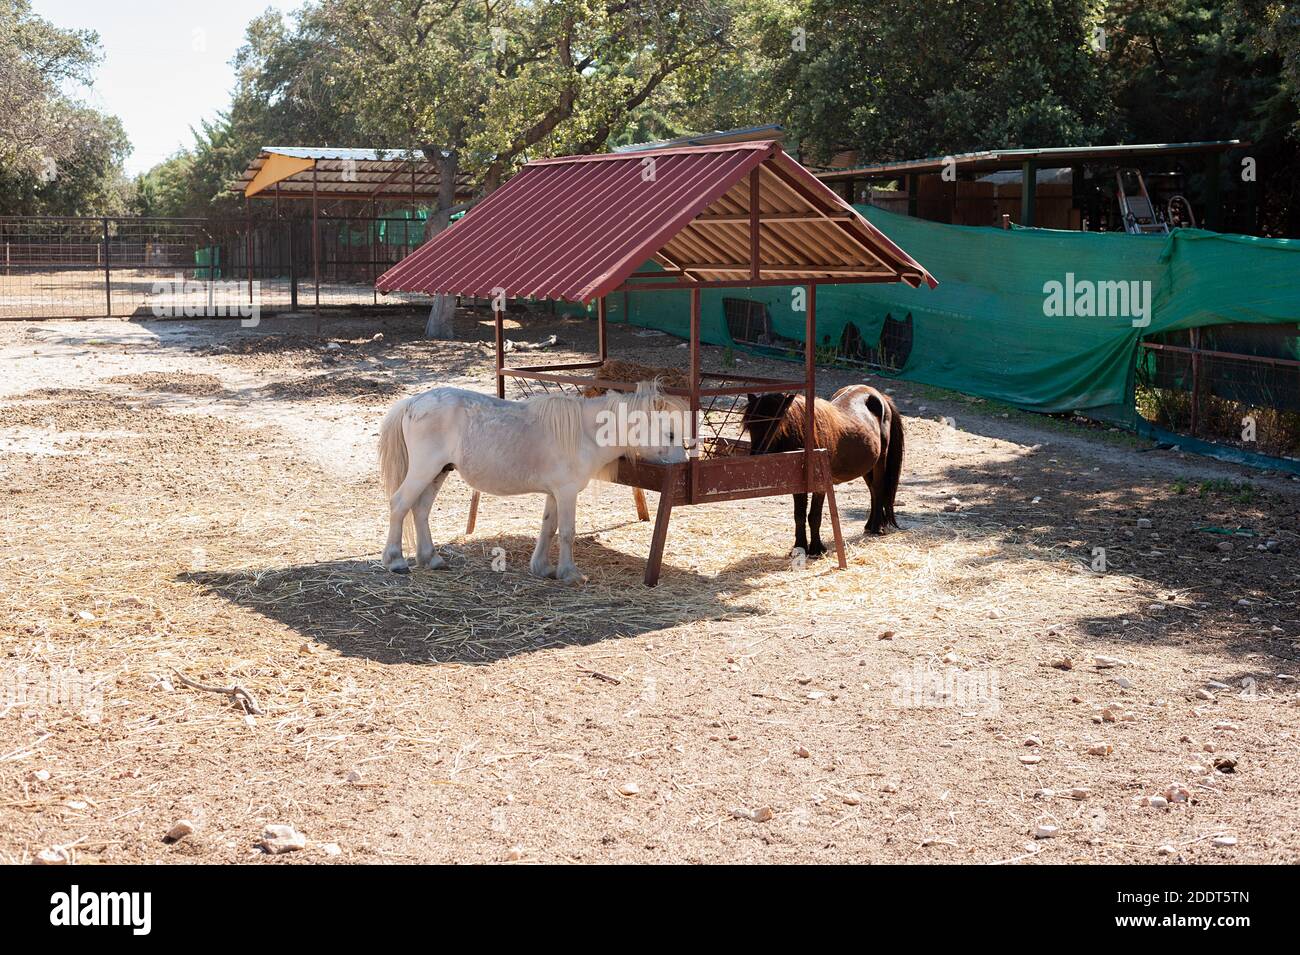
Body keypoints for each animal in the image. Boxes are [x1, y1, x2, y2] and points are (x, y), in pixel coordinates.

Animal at [378, 381, 688, 583]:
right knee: (400, 505)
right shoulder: (567, 492)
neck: (585, 433)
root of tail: (413, 402)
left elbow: (548, 528)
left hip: (438, 472)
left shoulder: (555, 493)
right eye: (671, 434)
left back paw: (431, 559)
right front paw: (570, 574)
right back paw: (396, 561)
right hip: (424, 470)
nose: (684, 464)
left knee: (420, 510)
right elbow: (567, 532)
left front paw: (543, 568)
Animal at [741, 385, 903, 558]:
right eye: (750, 425)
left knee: (878, 489)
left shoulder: (820, 486)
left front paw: (817, 549)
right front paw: (799, 546)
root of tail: (879, 395)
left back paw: (876, 528)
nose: (757, 455)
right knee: (873, 491)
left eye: (776, 424)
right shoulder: (798, 486)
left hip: (880, 461)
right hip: (867, 466)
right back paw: (870, 525)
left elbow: (814, 516)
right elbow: (799, 515)